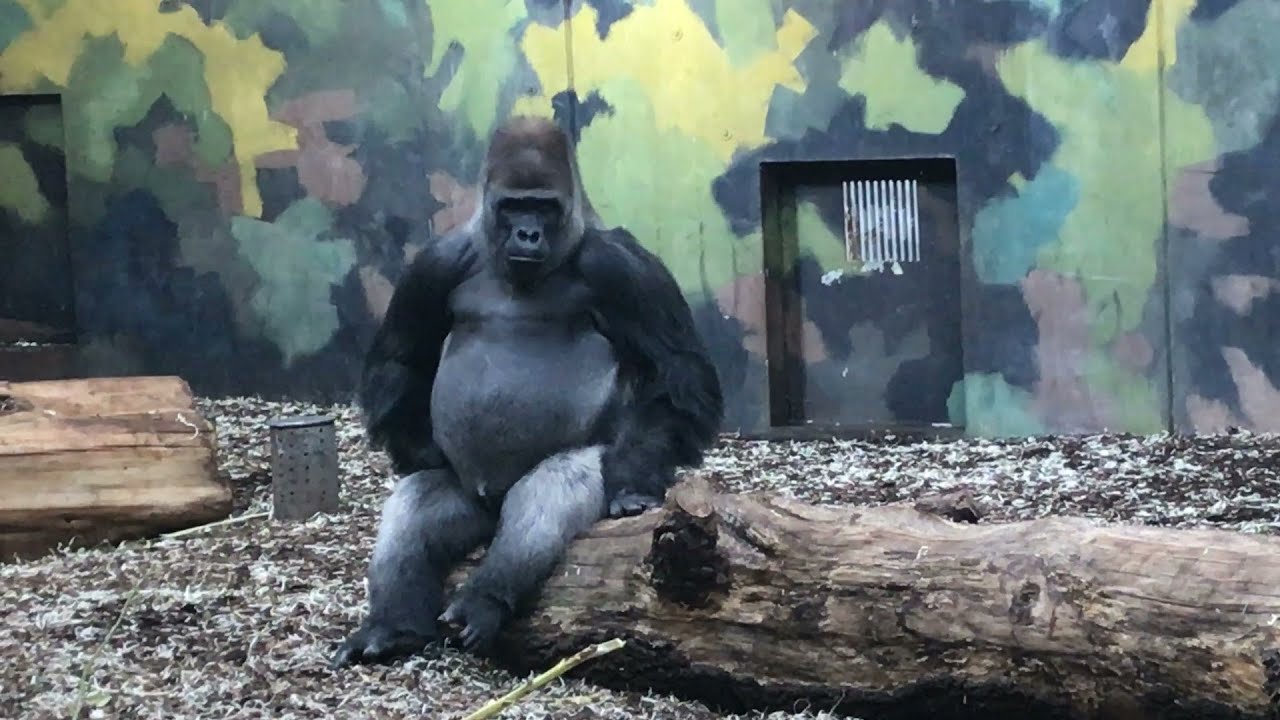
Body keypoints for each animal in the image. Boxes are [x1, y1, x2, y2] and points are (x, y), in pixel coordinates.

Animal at [331, 116, 724, 667]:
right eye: (514, 206)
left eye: (544, 207)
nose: (528, 232)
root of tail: (489, 512)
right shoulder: (434, 262)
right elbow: (402, 358)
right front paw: (418, 449)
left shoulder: (620, 262)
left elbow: (677, 372)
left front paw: (634, 479)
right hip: (469, 503)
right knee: (418, 505)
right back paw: (393, 625)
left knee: (552, 489)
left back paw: (484, 598)